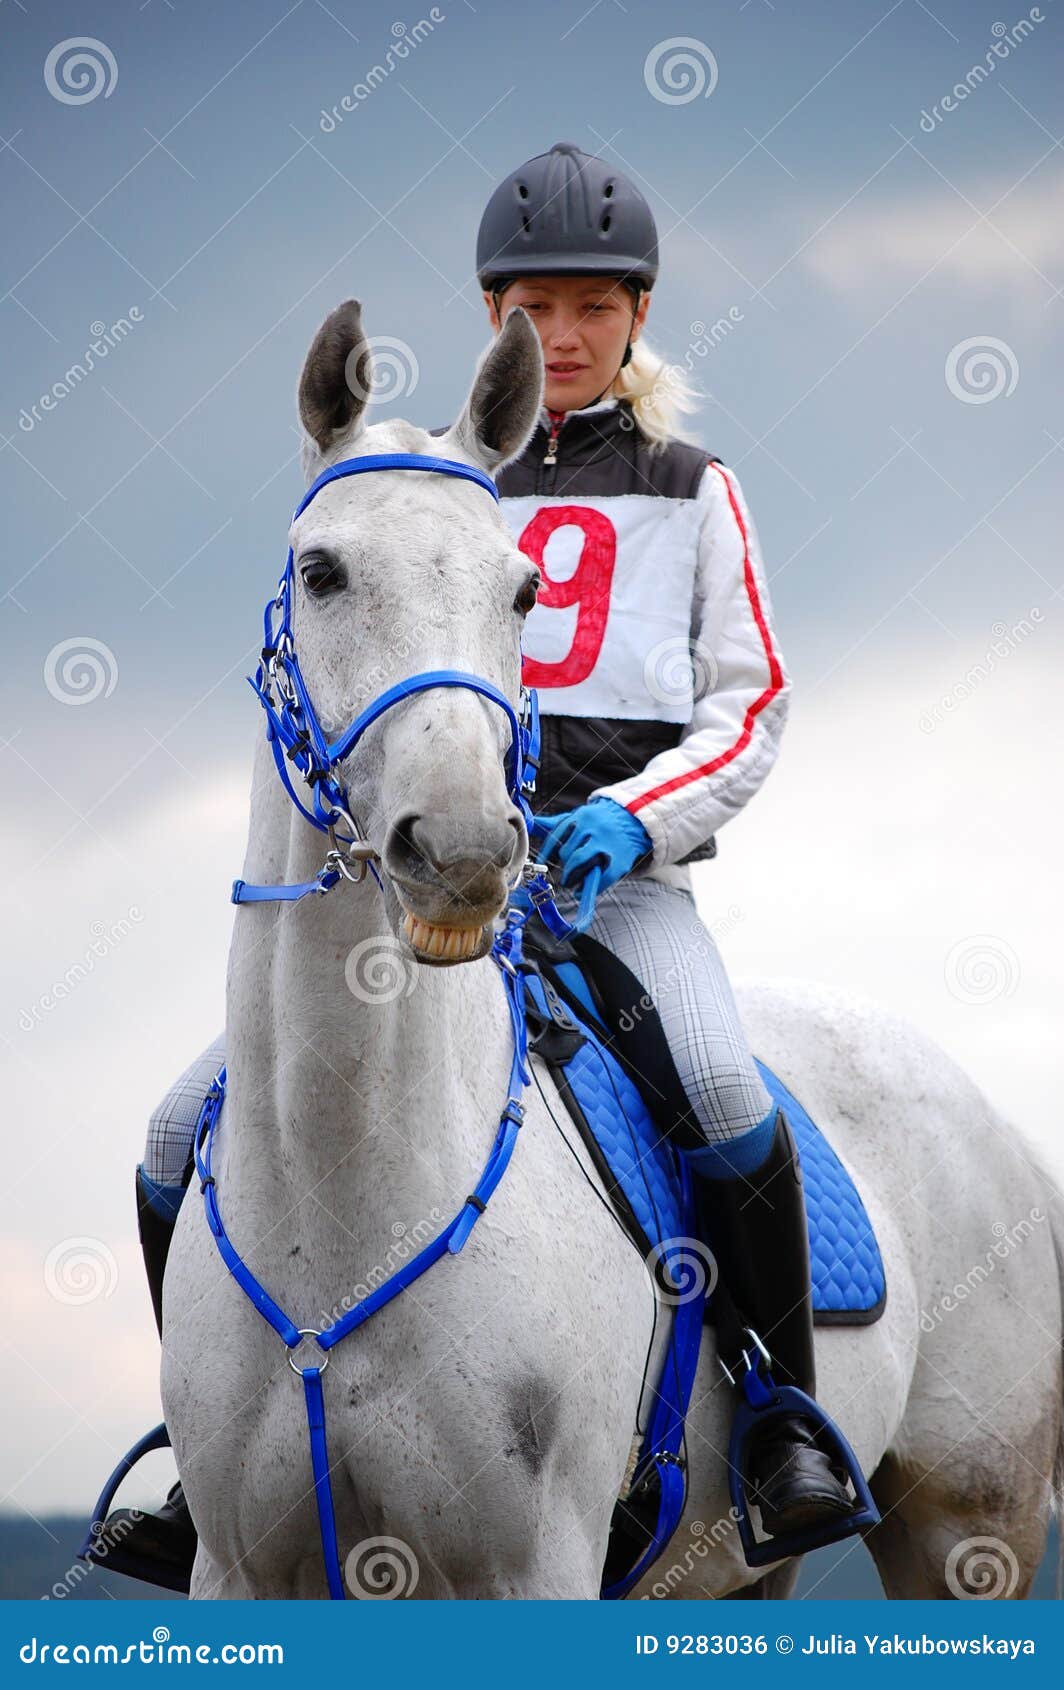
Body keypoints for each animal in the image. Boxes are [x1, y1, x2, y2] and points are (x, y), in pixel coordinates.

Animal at [160, 299, 1064, 1600]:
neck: (347, 1208)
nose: (464, 844)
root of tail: (999, 1130)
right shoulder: (238, 1571)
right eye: (320, 571)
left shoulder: (532, 1565)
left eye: (522, 591)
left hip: (964, 1530)